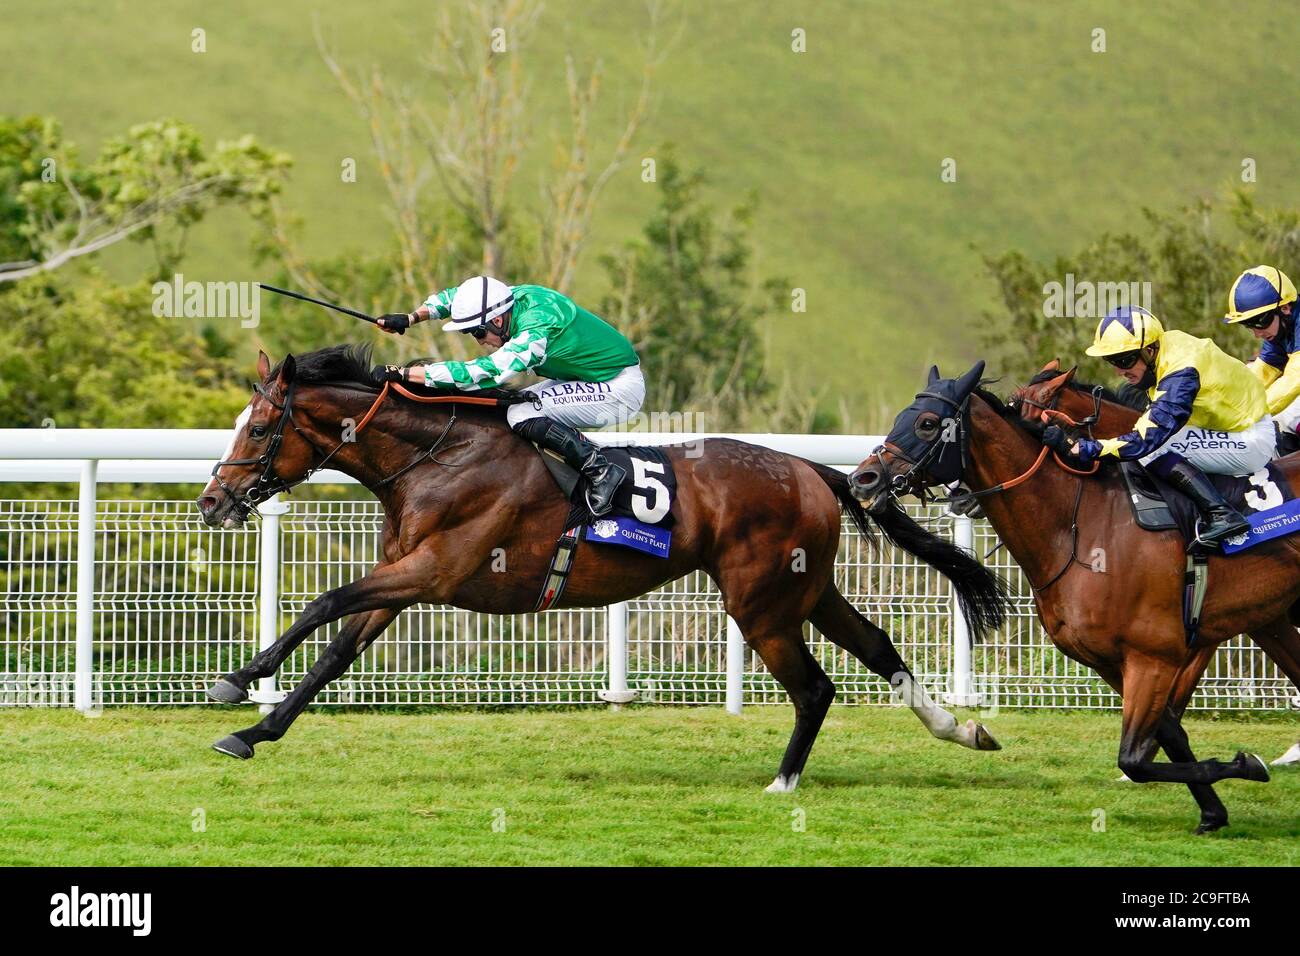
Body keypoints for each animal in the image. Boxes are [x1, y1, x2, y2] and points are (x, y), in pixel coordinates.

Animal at [195, 344, 1010, 792]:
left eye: (260, 428)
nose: (211, 502)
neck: (437, 456)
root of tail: (812, 469)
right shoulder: (406, 574)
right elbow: (336, 647)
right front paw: (255, 731)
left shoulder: (435, 569)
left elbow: (322, 603)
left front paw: (235, 679)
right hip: (805, 589)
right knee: (876, 646)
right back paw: (960, 729)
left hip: (760, 603)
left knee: (815, 688)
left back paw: (783, 783)